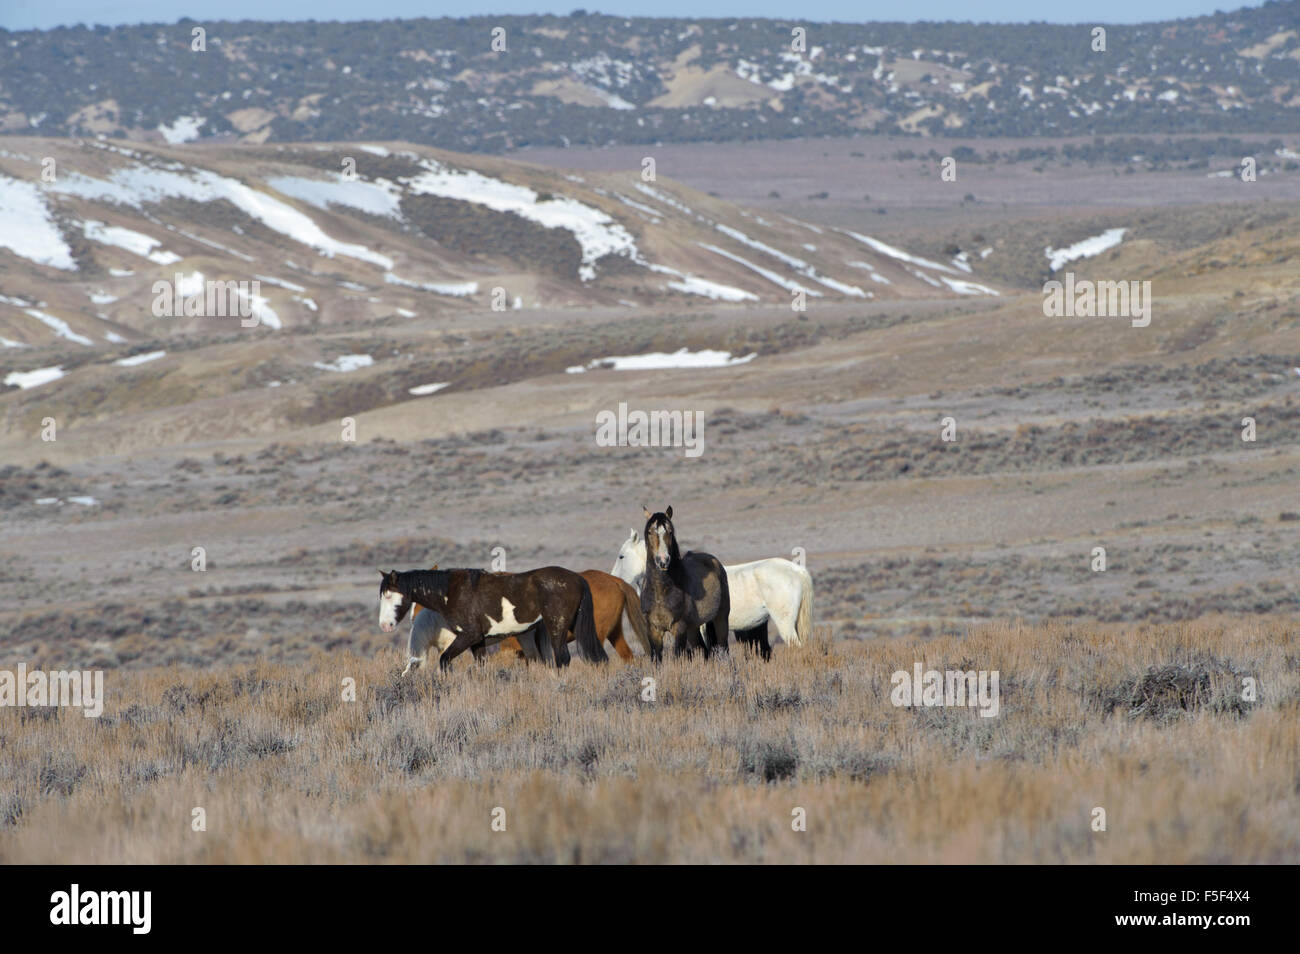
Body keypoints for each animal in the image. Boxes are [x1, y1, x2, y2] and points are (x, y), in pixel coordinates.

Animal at [378, 566, 607, 672]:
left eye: (389, 595)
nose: (385, 625)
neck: (451, 592)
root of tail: (577, 578)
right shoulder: (478, 641)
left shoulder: (467, 637)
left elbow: (444, 661)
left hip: (557, 627)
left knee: (562, 659)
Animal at [638, 506, 730, 659]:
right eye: (650, 532)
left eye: (670, 532)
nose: (663, 561)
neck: (660, 592)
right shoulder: (653, 630)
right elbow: (656, 659)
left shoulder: (679, 629)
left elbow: (677, 657)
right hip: (693, 628)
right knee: (703, 650)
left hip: (721, 618)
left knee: (724, 648)